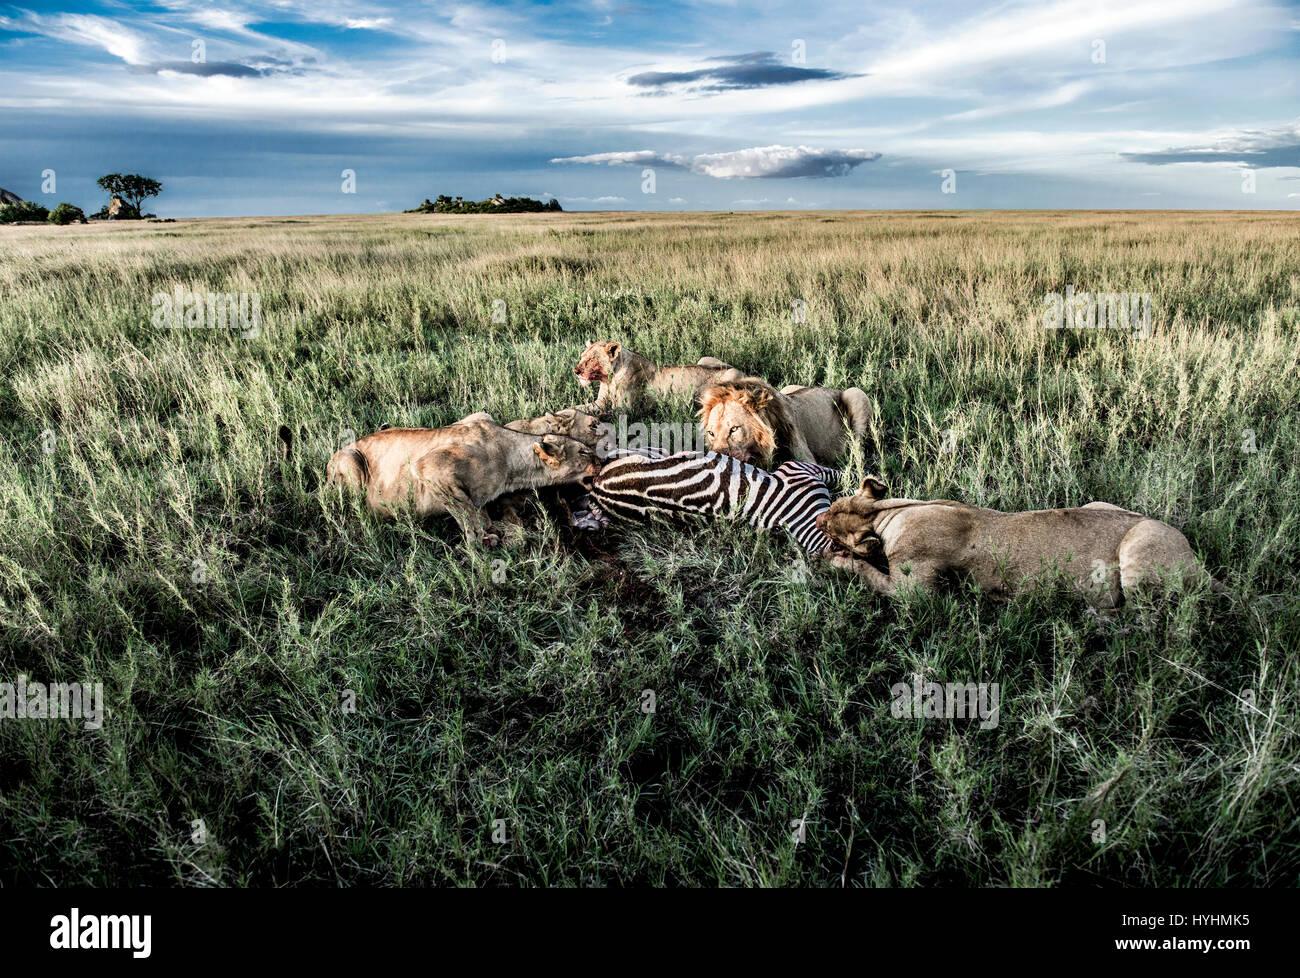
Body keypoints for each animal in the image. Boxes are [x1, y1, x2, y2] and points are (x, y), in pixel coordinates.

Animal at [326, 413, 598, 546]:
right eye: (584, 452)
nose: (602, 462)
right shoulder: (430, 467)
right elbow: (465, 511)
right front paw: (482, 539)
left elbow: (475, 509)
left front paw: (491, 526)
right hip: (351, 460)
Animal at [573, 340, 742, 413]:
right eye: (582, 356)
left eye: (591, 359)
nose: (576, 371)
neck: (610, 379)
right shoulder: (600, 402)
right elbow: (579, 408)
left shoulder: (626, 410)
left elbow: (604, 414)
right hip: (703, 358)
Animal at [698, 376, 872, 466]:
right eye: (711, 433)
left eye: (734, 429)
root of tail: (835, 388)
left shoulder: (808, 461)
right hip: (788, 387)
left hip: (856, 393)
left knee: (858, 449)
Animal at [817, 476, 1219, 606]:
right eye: (833, 505)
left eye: (830, 529)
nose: (818, 519)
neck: (888, 513)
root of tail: (1198, 563)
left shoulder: (914, 591)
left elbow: (868, 572)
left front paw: (833, 561)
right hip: (1098, 504)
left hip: (1139, 550)